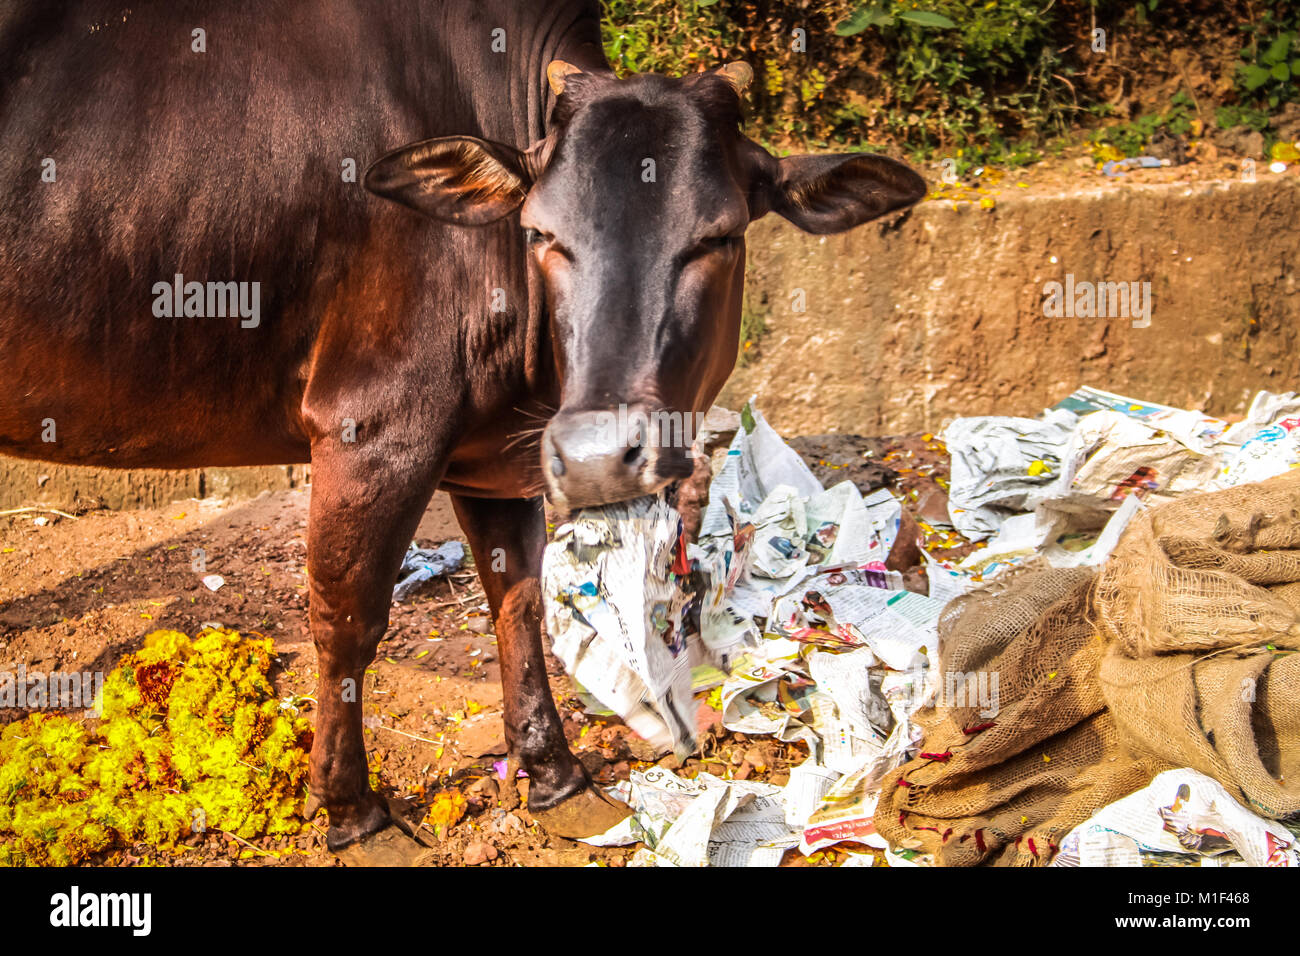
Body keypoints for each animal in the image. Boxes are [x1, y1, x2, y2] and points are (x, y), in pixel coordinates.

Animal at [0, 0, 925, 864]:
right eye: (542, 232)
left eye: (721, 235)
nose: (598, 456)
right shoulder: (375, 426)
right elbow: (347, 617)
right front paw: (351, 813)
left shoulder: (498, 454)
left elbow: (516, 599)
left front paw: (556, 778)